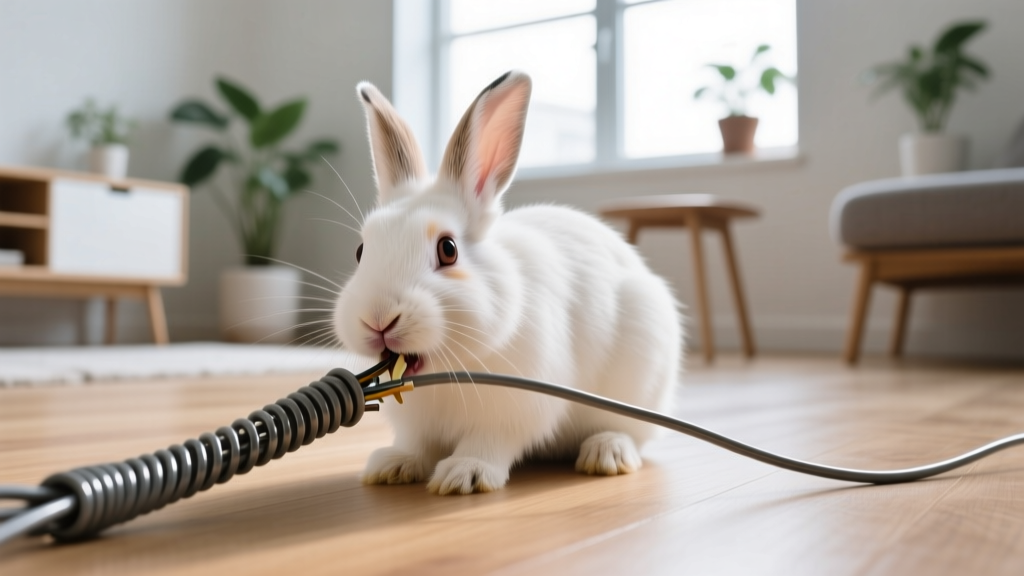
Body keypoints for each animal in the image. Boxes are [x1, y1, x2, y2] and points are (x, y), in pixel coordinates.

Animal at [333, 70, 683, 495]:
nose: (378, 319)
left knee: (630, 431)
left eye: (448, 249)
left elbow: (490, 442)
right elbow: (417, 445)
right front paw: (393, 466)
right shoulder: (419, 425)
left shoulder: (514, 409)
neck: (449, 369)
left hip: (639, 382)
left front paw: (464, 475)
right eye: (360, 251)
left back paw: (606, 454)